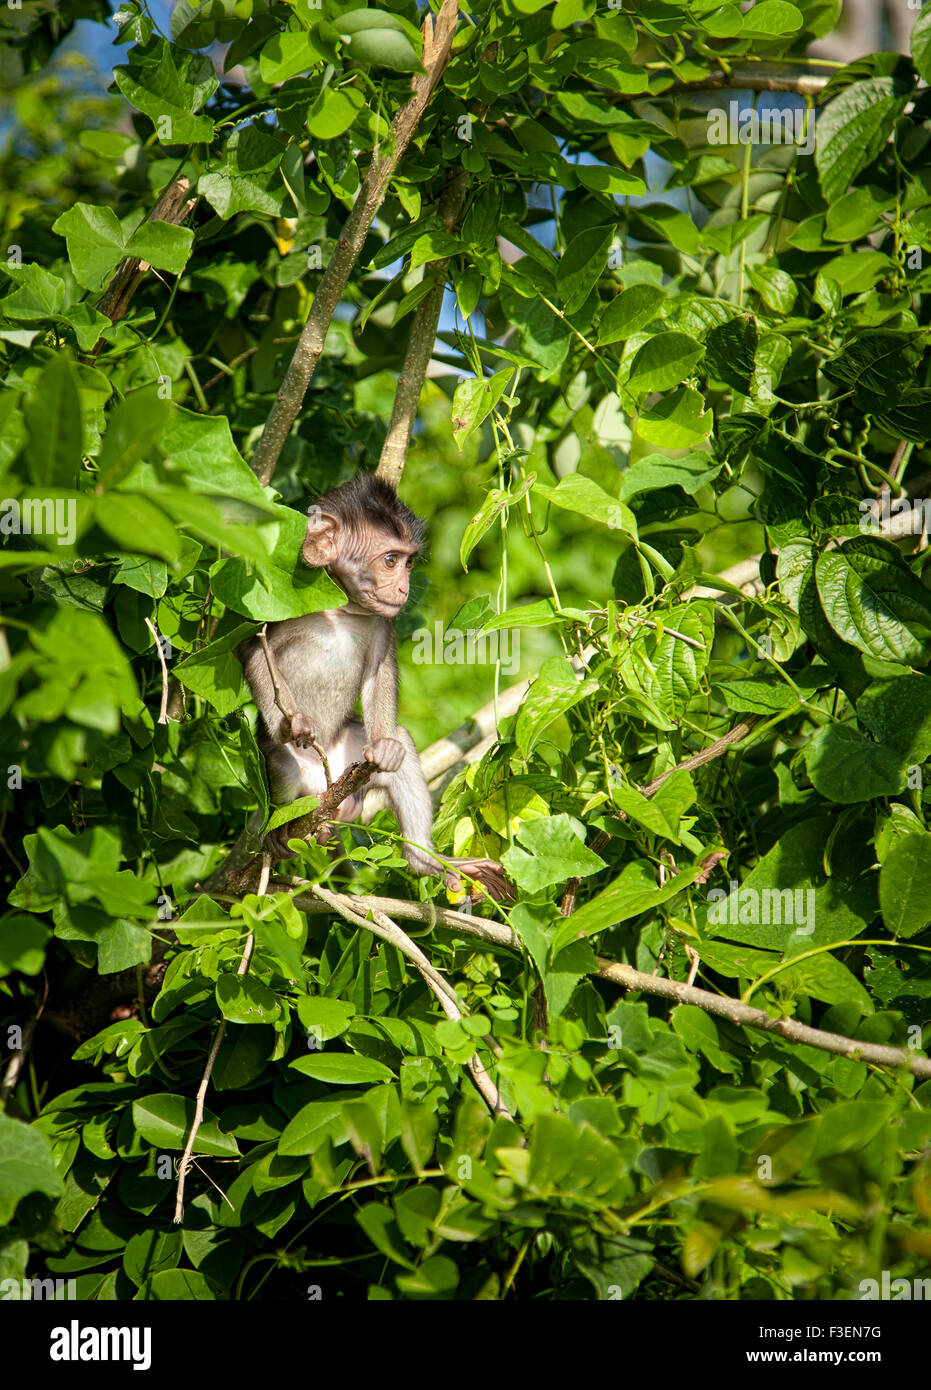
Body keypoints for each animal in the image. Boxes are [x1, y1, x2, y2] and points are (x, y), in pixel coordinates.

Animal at [238, 474, 510, 901]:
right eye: (390, 561)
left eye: (409, 562)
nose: (403, 587)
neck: (341, 609)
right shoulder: (281, 607)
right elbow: (251, 650)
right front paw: (292, 723)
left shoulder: (383, 621)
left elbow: (379, 674)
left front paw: (385, 747)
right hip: (302, 787)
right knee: (282, 764)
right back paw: (278, 833)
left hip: (352, 771)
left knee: (400, 745)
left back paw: (428, 860)